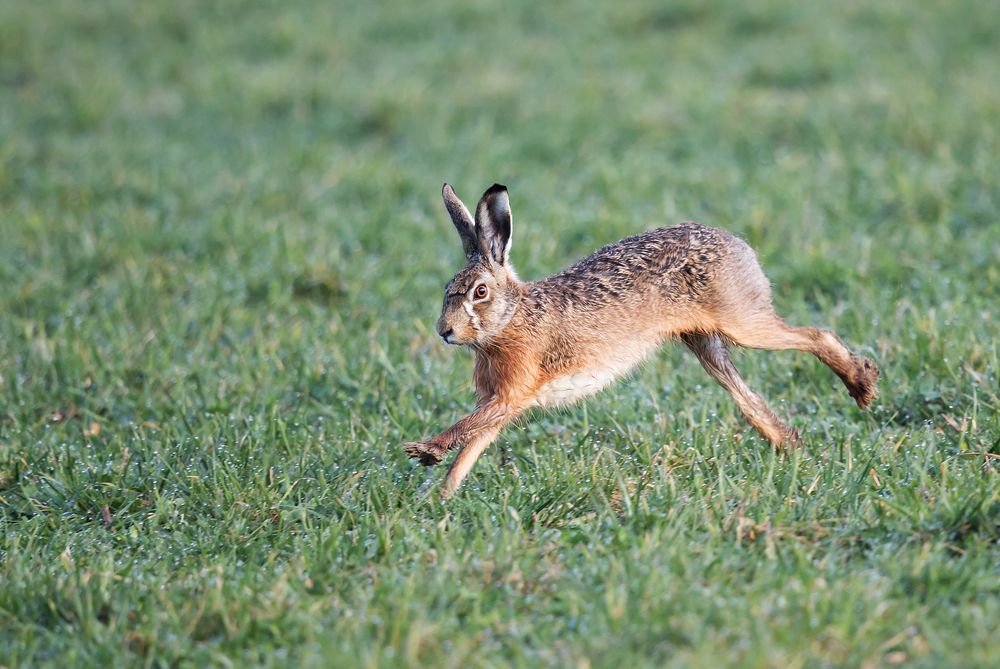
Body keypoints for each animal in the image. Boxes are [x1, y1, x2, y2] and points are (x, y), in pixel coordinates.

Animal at [405, 183, 880, 498]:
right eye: (448, 287)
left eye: (479, 292)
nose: (445, 331)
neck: (513, 317)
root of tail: (739, 245)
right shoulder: (504, 401)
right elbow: (474, 445)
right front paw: (441, 495)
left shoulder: (511, 391)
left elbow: (467, 428)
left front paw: (425, 452)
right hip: (703, 341)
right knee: (743, 390)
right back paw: (790, 446)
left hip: (742, 320)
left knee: (814, 334)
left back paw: (862, 384)